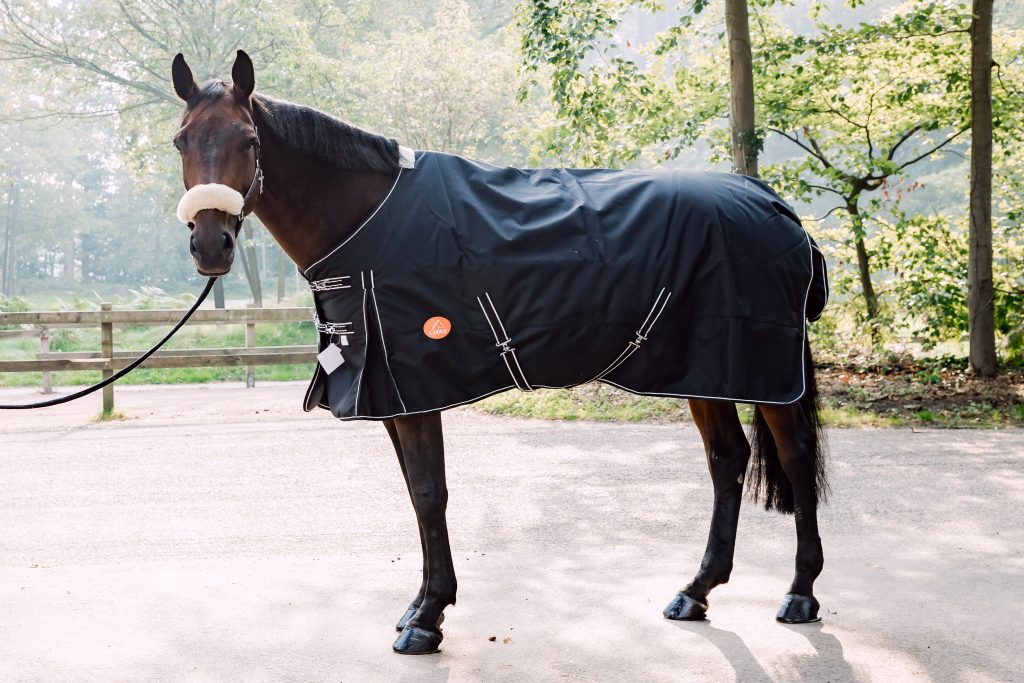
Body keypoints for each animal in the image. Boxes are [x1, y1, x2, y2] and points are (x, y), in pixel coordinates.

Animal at [170, 50, 829, 655]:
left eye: (250, 141)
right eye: (180, 141)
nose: (211, 244)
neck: (369, 220)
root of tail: (774, 206)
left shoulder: (414, 391)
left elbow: (430, 494)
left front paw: (428, 618)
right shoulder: (390, 395)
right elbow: (416, 494)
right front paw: (420, 605)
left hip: (764, 370)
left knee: (794, 456)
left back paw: (800, 593)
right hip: (703, 369)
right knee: (727, 459)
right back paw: (696, 591)